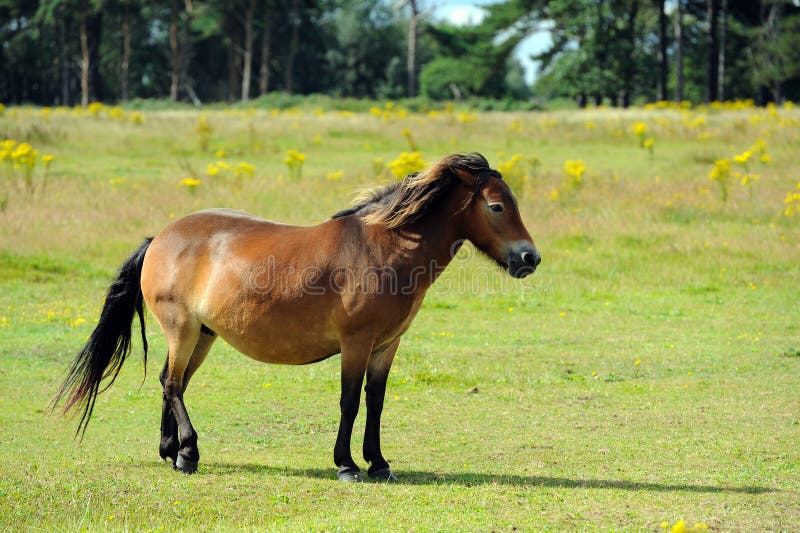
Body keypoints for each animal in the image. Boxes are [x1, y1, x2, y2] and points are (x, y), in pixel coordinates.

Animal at [52, 152, 541, 482]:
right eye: (497, 206)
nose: (529, 258)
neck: (385, 249)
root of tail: (160, 237)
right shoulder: (356, 343)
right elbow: (350, 401)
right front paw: (347, 465)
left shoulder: (386, 346)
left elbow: (376, 401)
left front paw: (379, 462)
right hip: (182, 330)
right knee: (172, 384)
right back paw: (188, 454)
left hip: (204, 335)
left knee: (173, 384)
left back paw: (170, 452)